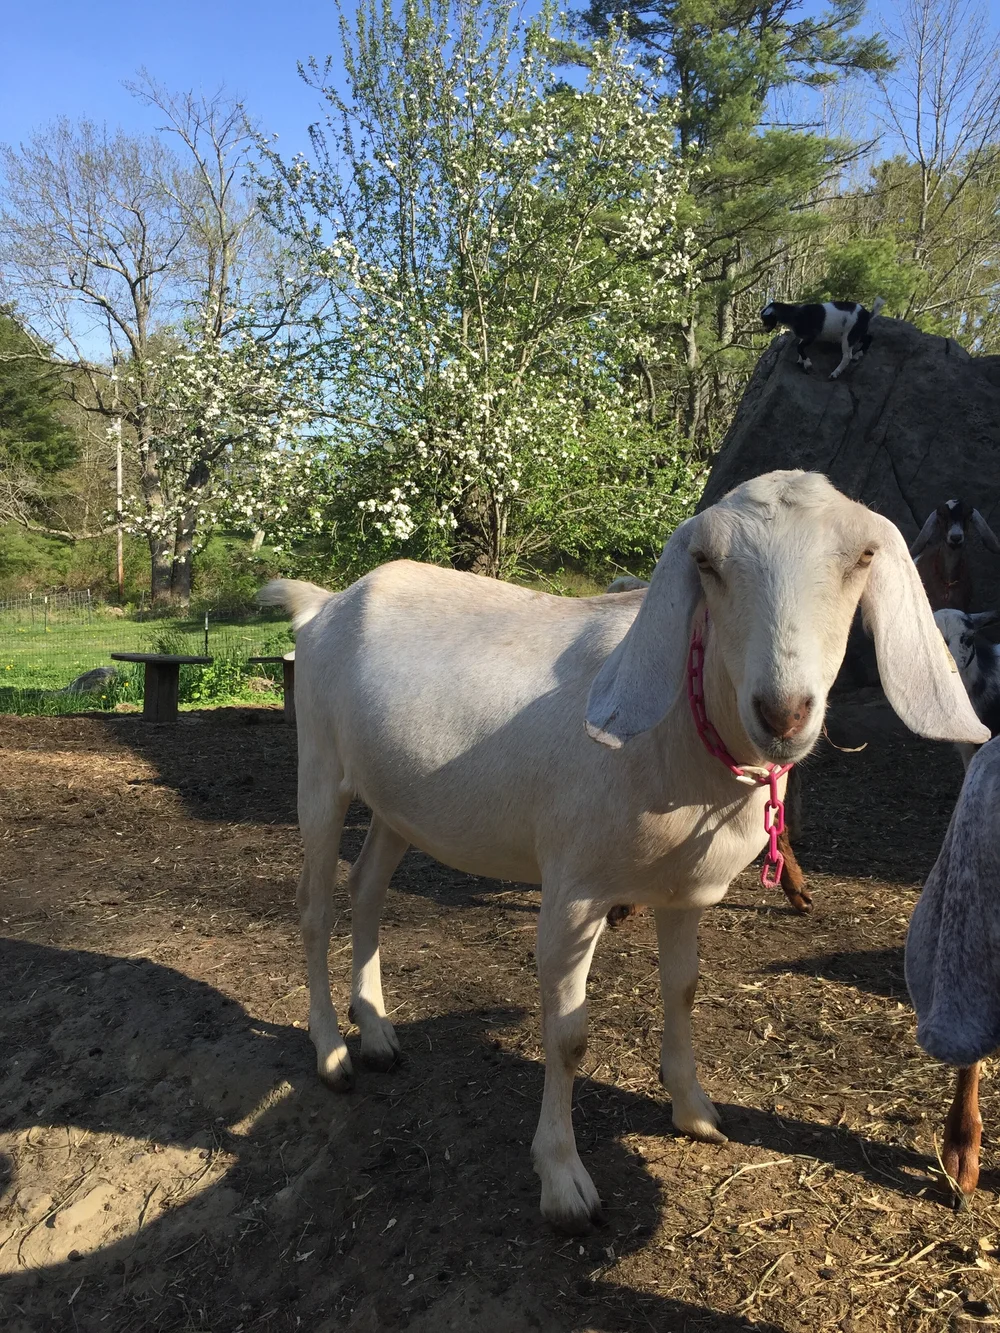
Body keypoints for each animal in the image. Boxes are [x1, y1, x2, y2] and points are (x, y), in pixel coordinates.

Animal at [261, 470, 985, 1235]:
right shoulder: (573, 888)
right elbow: (569, 1035)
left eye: (864, 557)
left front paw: (696, 1111)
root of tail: (323, 603)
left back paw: (375, 1031)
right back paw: (332, 1052)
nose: (782, 712)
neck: (680, 737)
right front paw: (563, 1179)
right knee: (313, 908)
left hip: (396, 800)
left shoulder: (684, 890)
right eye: (707, 563)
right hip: (320, 767)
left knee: (368, 888)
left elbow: (683, 988)